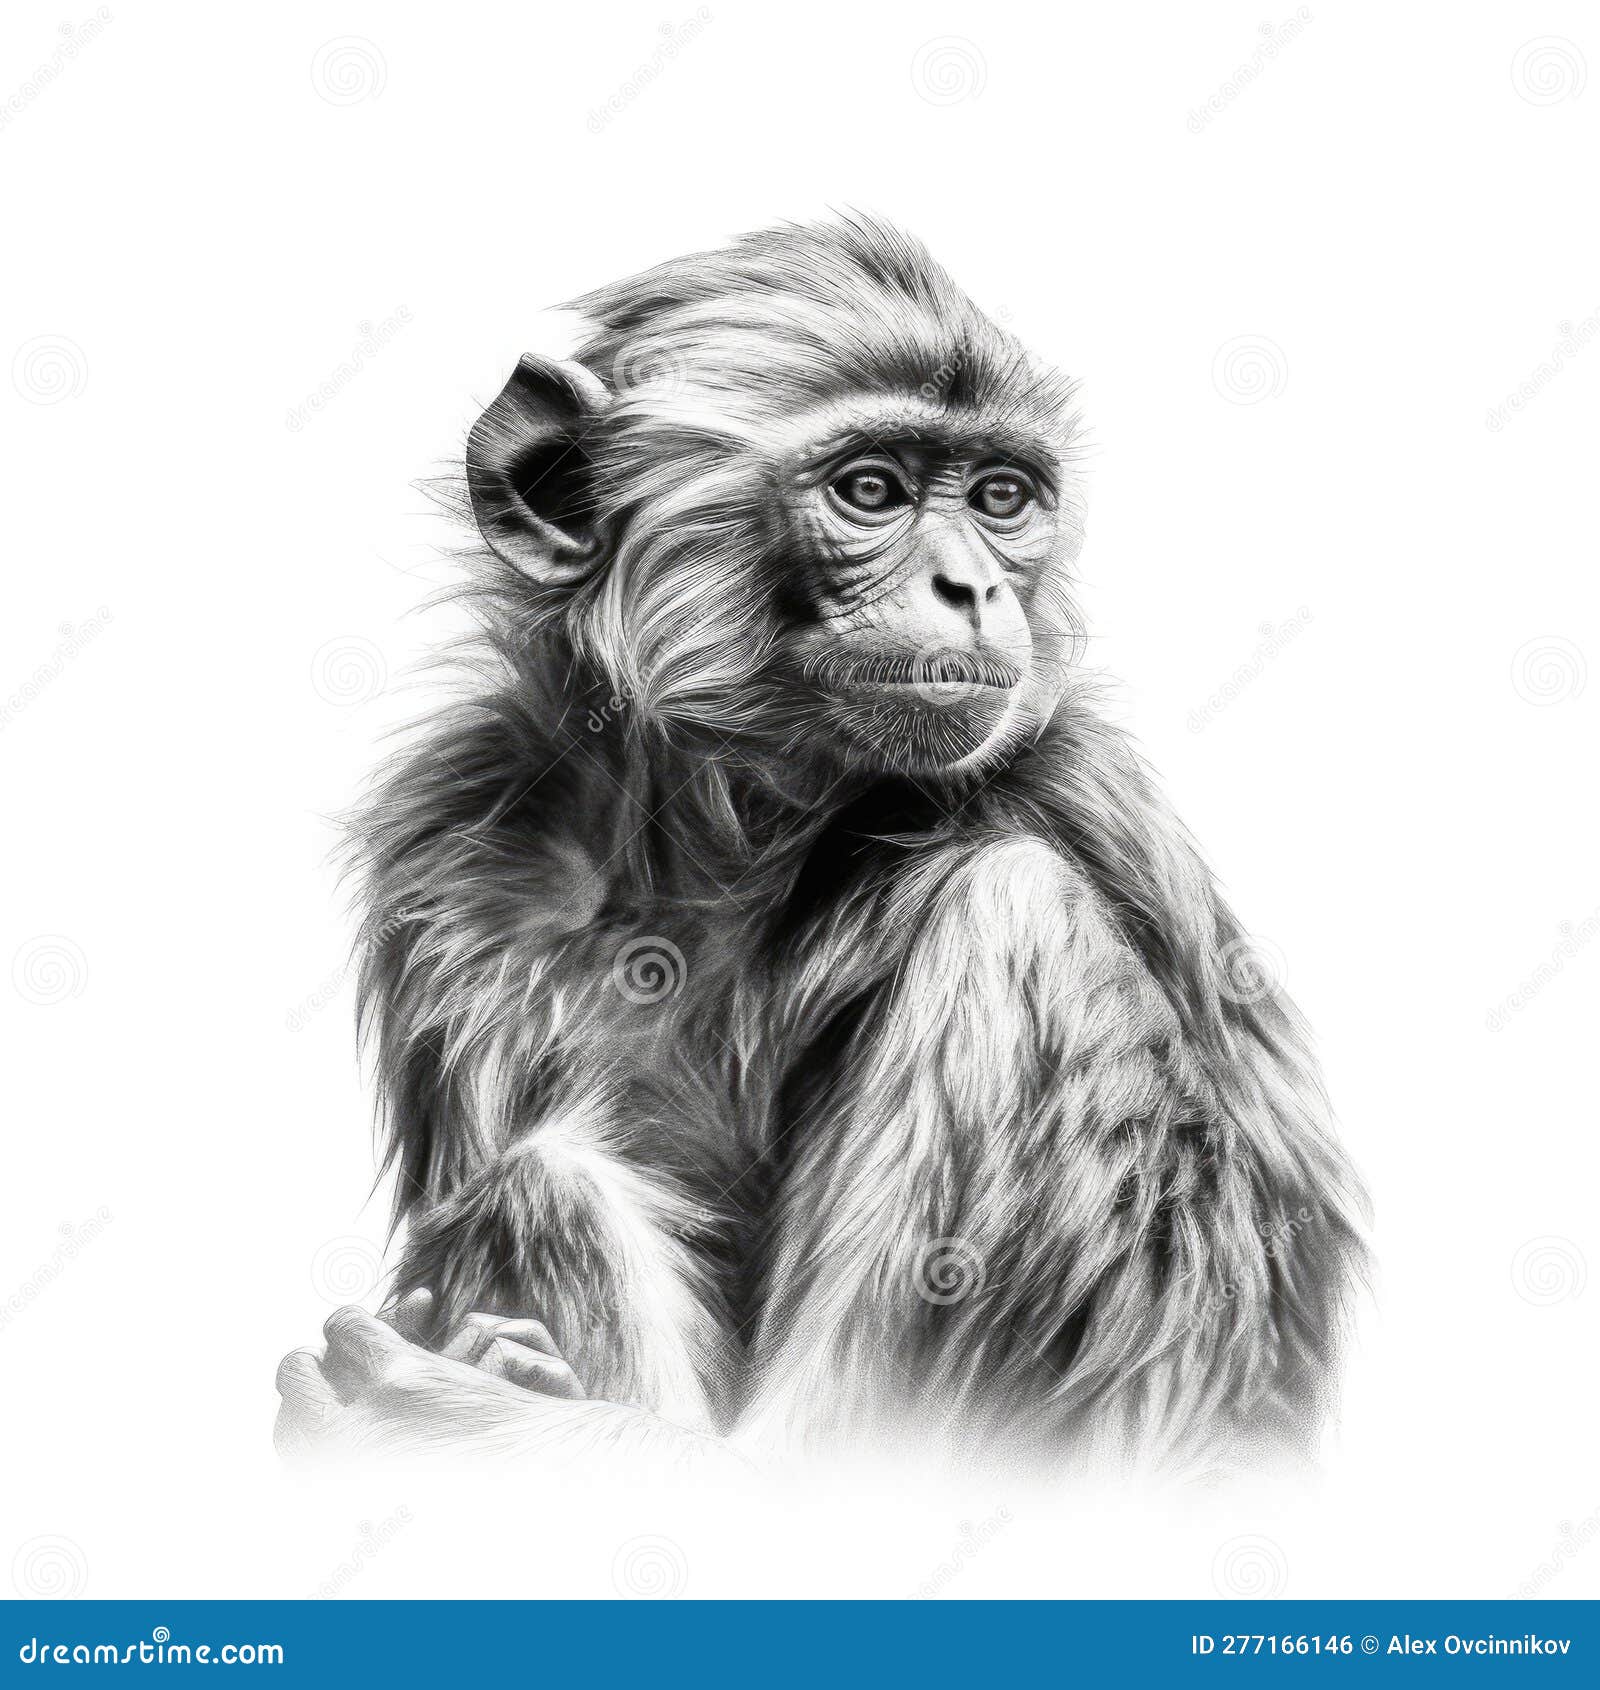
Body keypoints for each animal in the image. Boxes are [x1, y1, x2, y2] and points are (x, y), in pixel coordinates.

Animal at [274, 215, 1367, 1476]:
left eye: (1000, 496)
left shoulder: (1064, 784)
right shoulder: (459, 876)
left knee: (1011, 906)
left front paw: (467, 1419)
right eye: (870, 490)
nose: (972, 585)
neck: (727, 834)